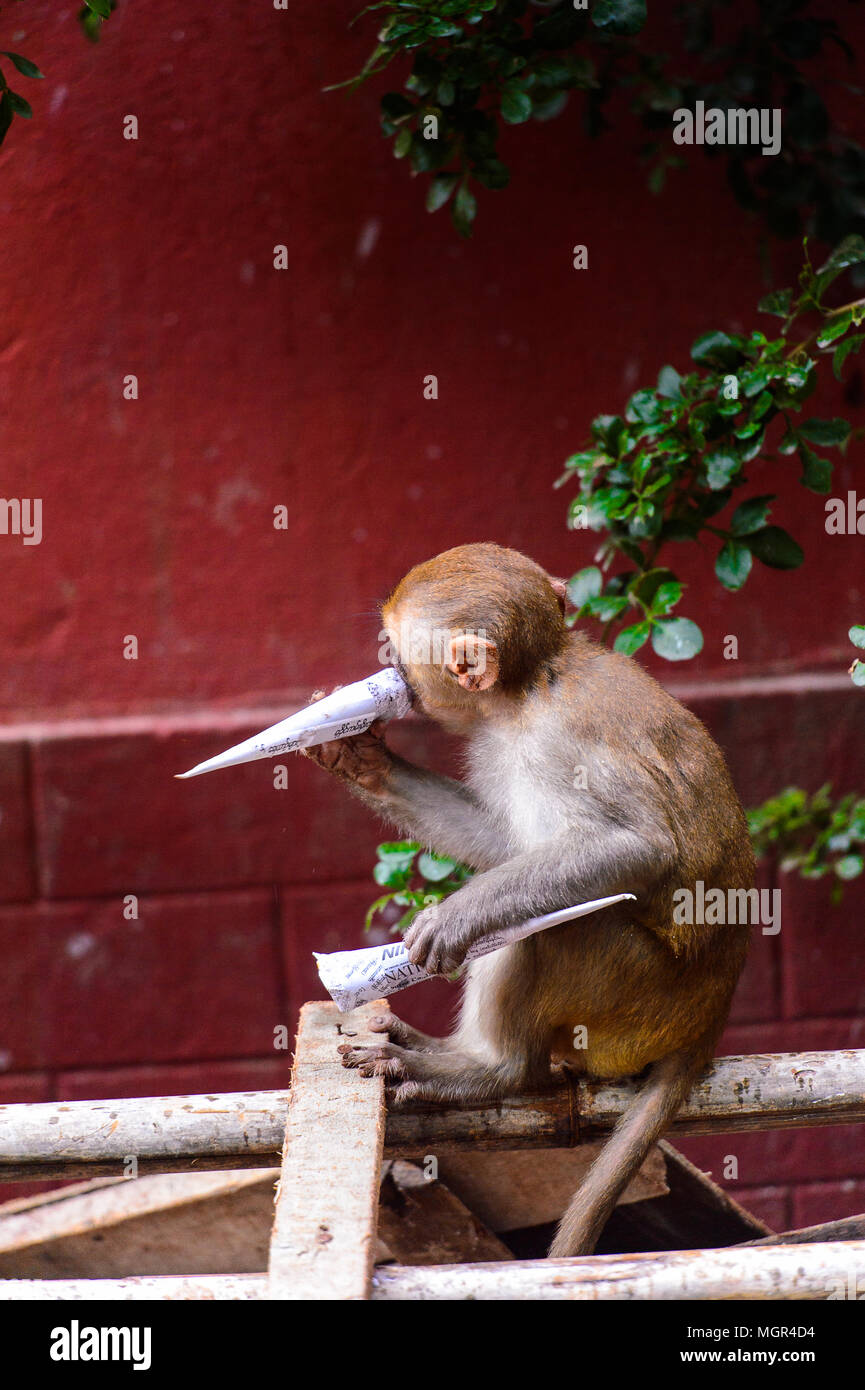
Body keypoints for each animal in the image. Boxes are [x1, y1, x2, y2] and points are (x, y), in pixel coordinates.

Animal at [303, 542, 754, 1257]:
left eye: (393, 647)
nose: (387, 671)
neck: (530, 687)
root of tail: (707, 1021)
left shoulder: (557, 743)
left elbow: (637, 846)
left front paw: (454, 915)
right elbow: (503, 846)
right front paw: (357, 756)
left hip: (636, 1006)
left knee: (556, 926)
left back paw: (491, 1070)